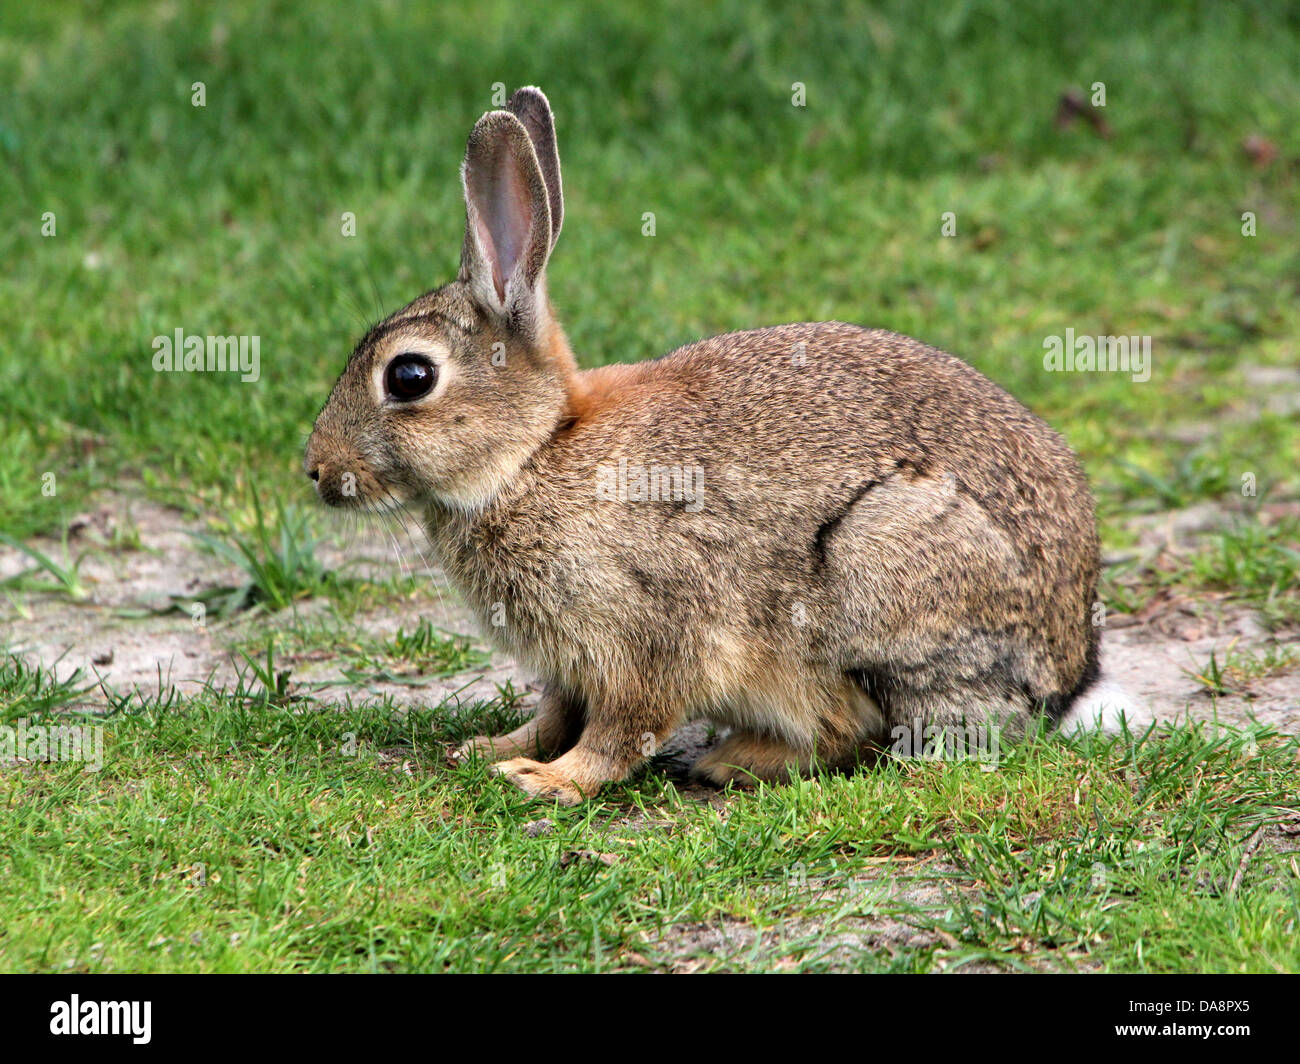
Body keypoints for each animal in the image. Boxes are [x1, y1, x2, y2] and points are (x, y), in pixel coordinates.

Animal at [304, 86, 1143, 805]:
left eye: (410, 376)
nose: (316, 470)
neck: (535, 451)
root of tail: (1068, 672)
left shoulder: (648, 629)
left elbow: (622, 727)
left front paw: (548, 781)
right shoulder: (571, 662)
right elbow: (555, 712)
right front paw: (496, 749)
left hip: (882, 563)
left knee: (863, 732)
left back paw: (732, 760)